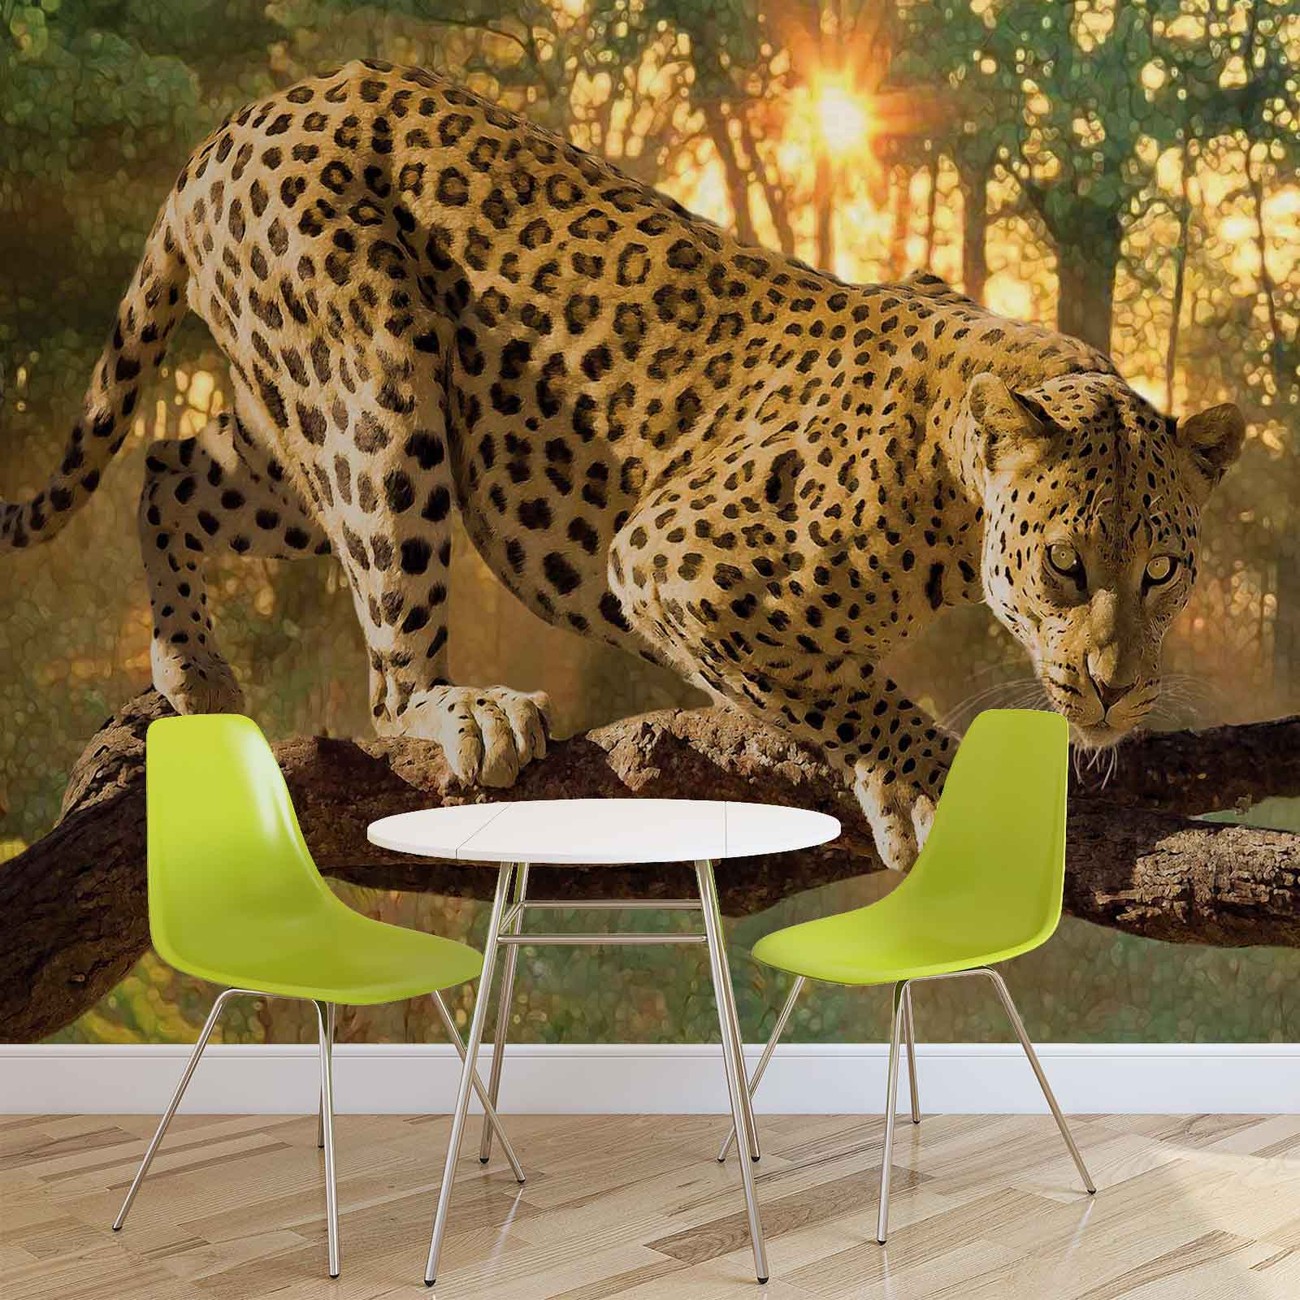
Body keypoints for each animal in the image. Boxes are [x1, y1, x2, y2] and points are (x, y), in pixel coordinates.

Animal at [1, 60, 1245, 869]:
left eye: (1162, 574)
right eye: (1065, 568)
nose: (1113, 687)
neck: (954, 493)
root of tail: (238, 122)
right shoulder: (672, 557)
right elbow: (852, 686)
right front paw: (924, 779)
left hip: (299, 430)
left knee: (167, 463)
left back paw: (193, 670)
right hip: (380, 393)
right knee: (386, 674)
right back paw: (460, 712)